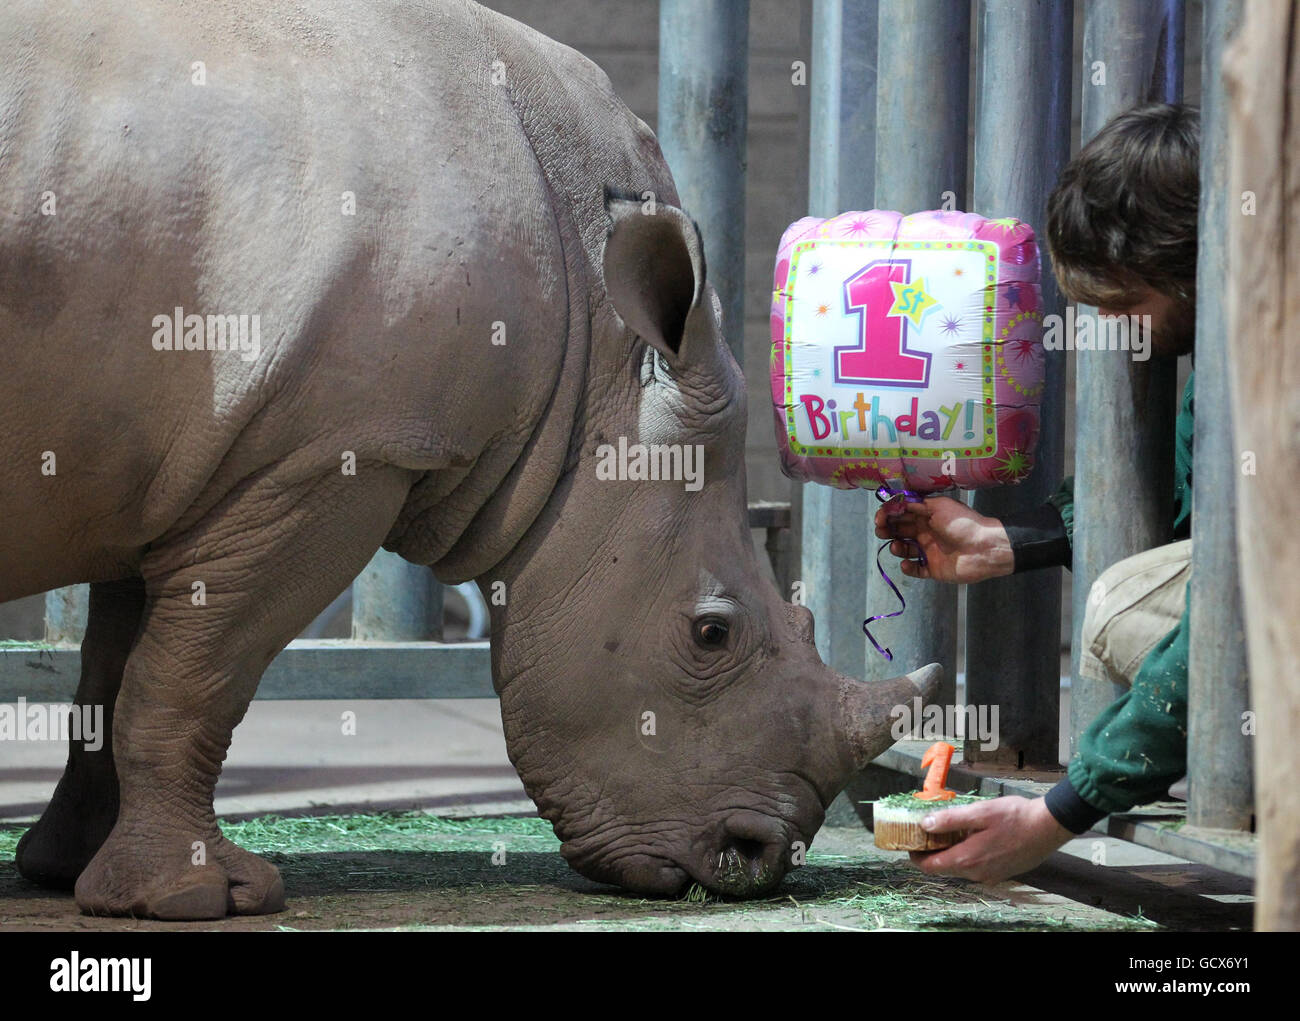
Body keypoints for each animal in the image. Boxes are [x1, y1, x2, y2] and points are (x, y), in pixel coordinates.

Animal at [0, 0, 940, 919]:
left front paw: (67, 871)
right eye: (712, 634)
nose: (757, 858)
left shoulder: (174, 471)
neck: (595, 366)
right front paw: (202, 898)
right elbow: (195, 673)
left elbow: (117, 665)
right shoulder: (327, 457)